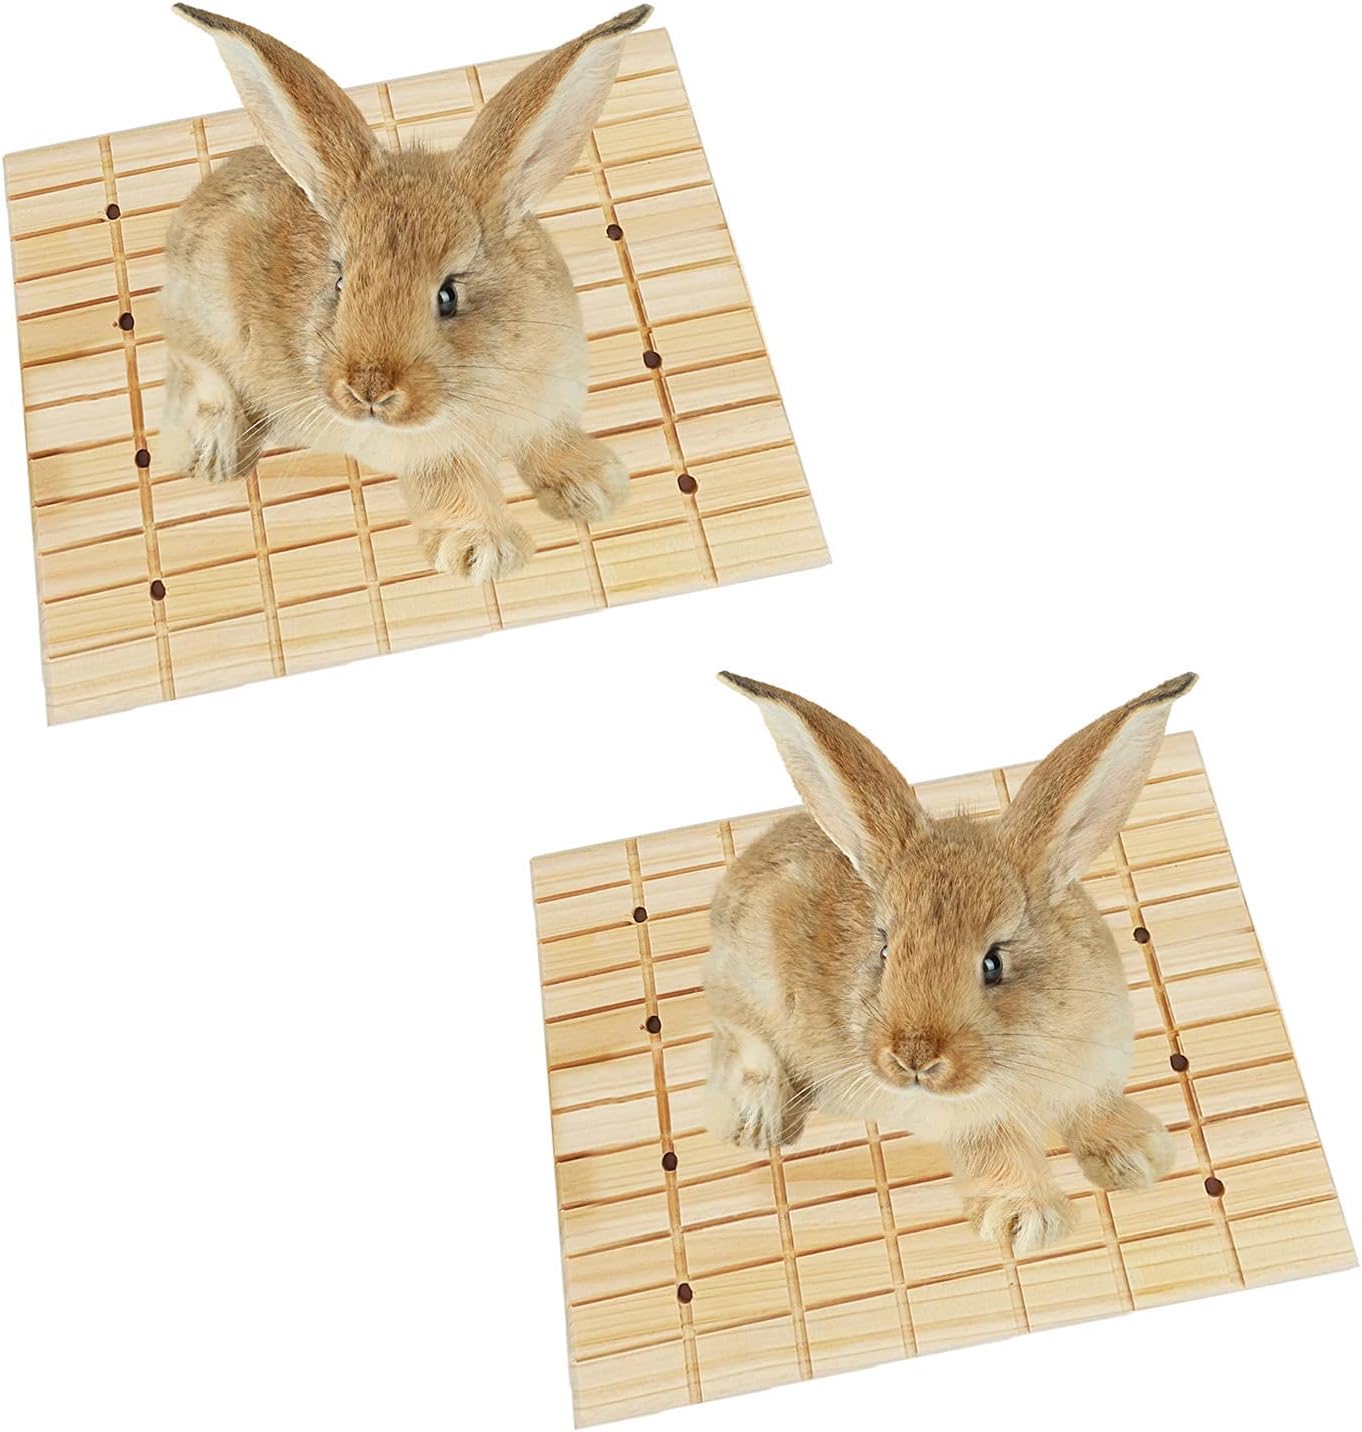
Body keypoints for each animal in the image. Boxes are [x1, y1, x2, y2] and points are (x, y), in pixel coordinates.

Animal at [159, 5, 651, 584]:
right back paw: (211, 455)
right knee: (197, 369)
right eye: (340, 282)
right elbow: (454, 486)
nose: (368, 390)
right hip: (205, 310)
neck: (482, 385)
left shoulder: (546, 410)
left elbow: (550, 444)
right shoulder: (432, 454)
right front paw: (482, 553)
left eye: (448, 295)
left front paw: (595, 488)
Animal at [704, 671, 1197, 1254]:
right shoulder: (977, 1124)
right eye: (885, 949)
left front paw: (1140, 1156)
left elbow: (1094, 1112)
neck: (1025, 1055)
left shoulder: (1089, 1079)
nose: (913, 1059)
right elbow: (999, 1154)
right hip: (750, 980)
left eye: (993, 963)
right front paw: (1027, 1224)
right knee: (742, 1039)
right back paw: (755, 1122)